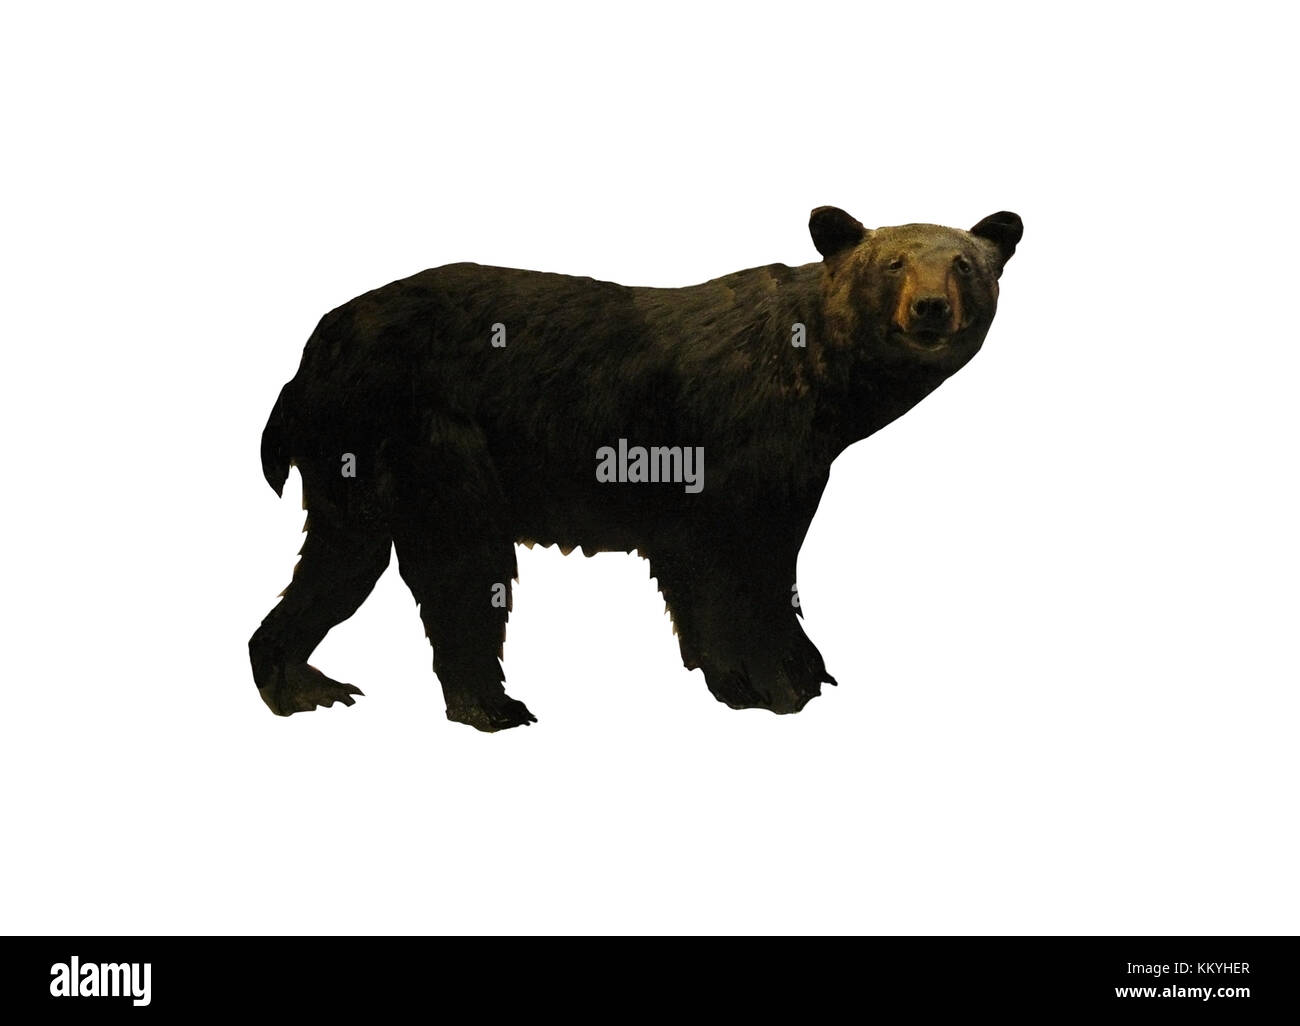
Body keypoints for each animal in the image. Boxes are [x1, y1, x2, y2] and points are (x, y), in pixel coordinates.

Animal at [250, 207, 1022, 730]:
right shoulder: (734, 443)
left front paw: (782, 673)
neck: (824, 385)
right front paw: (774, 683)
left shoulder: (786, 467)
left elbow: (742, 566)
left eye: (964, 264)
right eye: (892, 264)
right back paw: (492, 704)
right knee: (460, 564)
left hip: (354, 457)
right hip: (428, 434)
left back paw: (298, 682)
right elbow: (736, 568)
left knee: (342, 555)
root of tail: (314, 348)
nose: (930, 308)